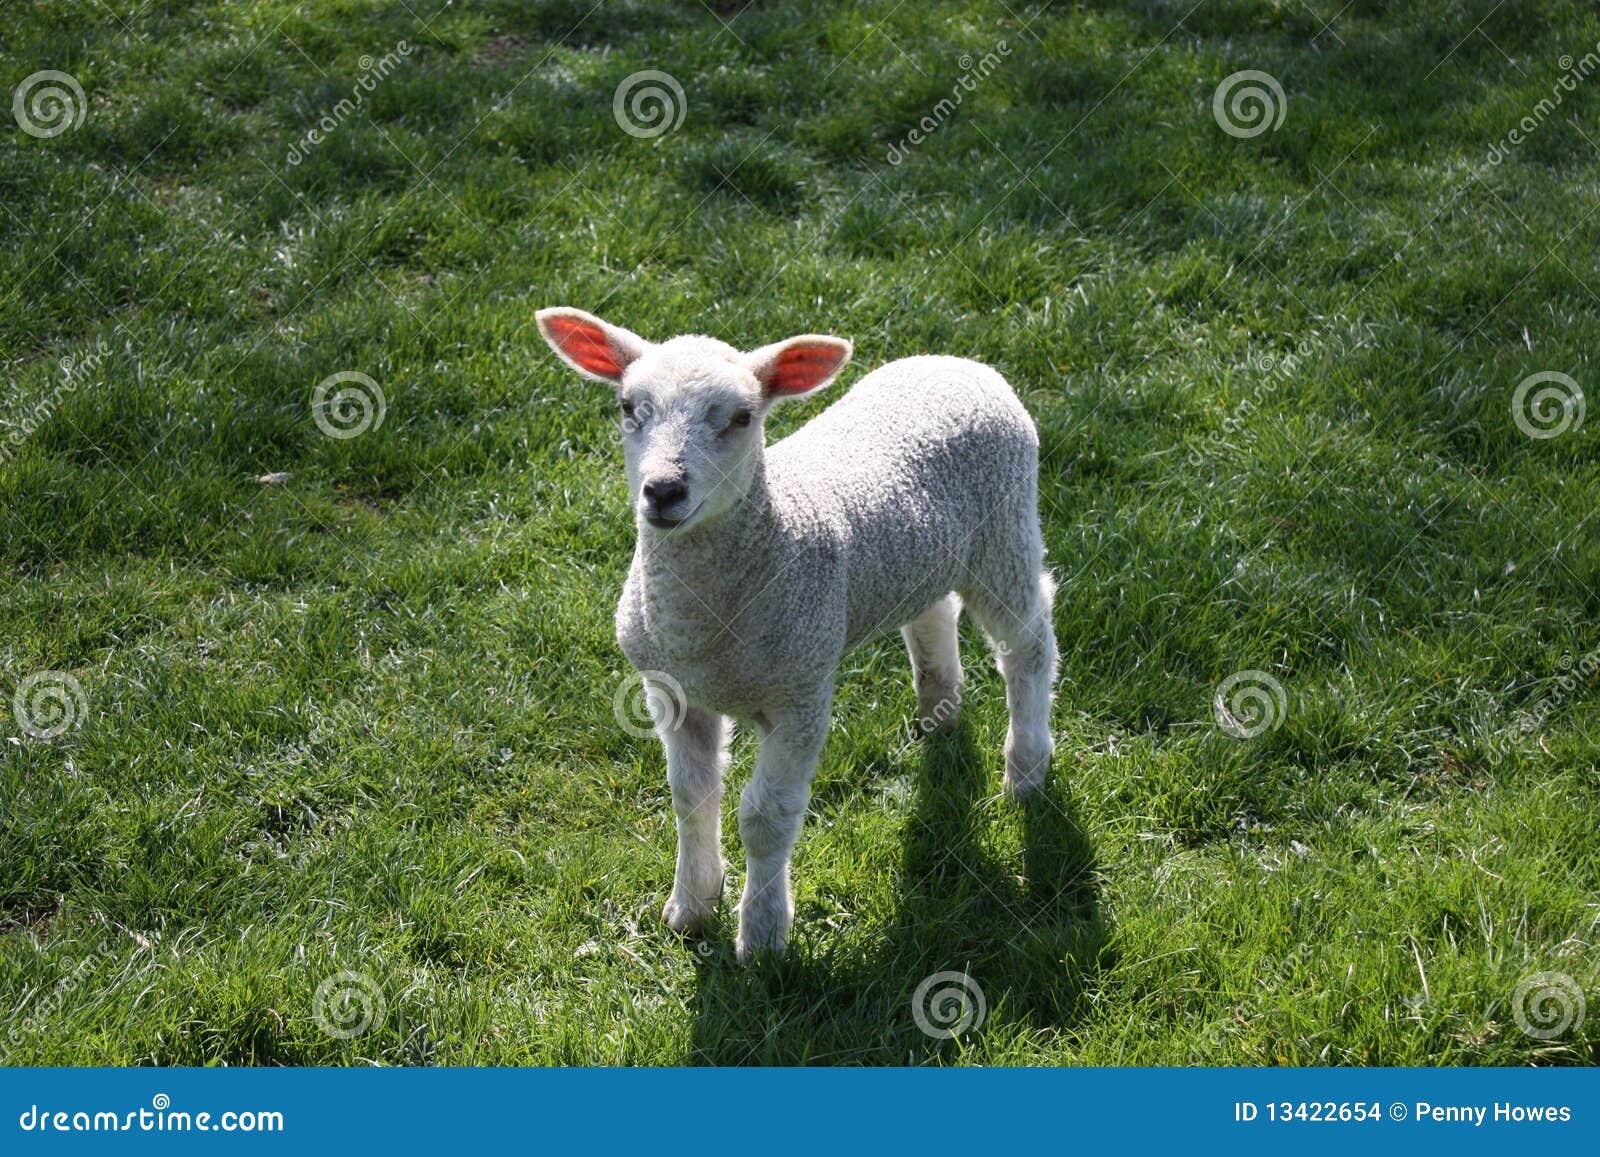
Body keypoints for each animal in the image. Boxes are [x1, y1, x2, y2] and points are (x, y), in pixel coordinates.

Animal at [536, 307, 1059, 959]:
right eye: (630, 407)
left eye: (741, 418)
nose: (663, 490)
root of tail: (958, 362)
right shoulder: (672, 692)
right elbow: (690, 797)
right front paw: (691, 906)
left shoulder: (800, 695)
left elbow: (764, 818)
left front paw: (761, 936)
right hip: (926, 552)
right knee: (932, 610)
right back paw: (938, 710)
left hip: (1005, 531)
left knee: (1029, 643)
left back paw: (1027, 769)